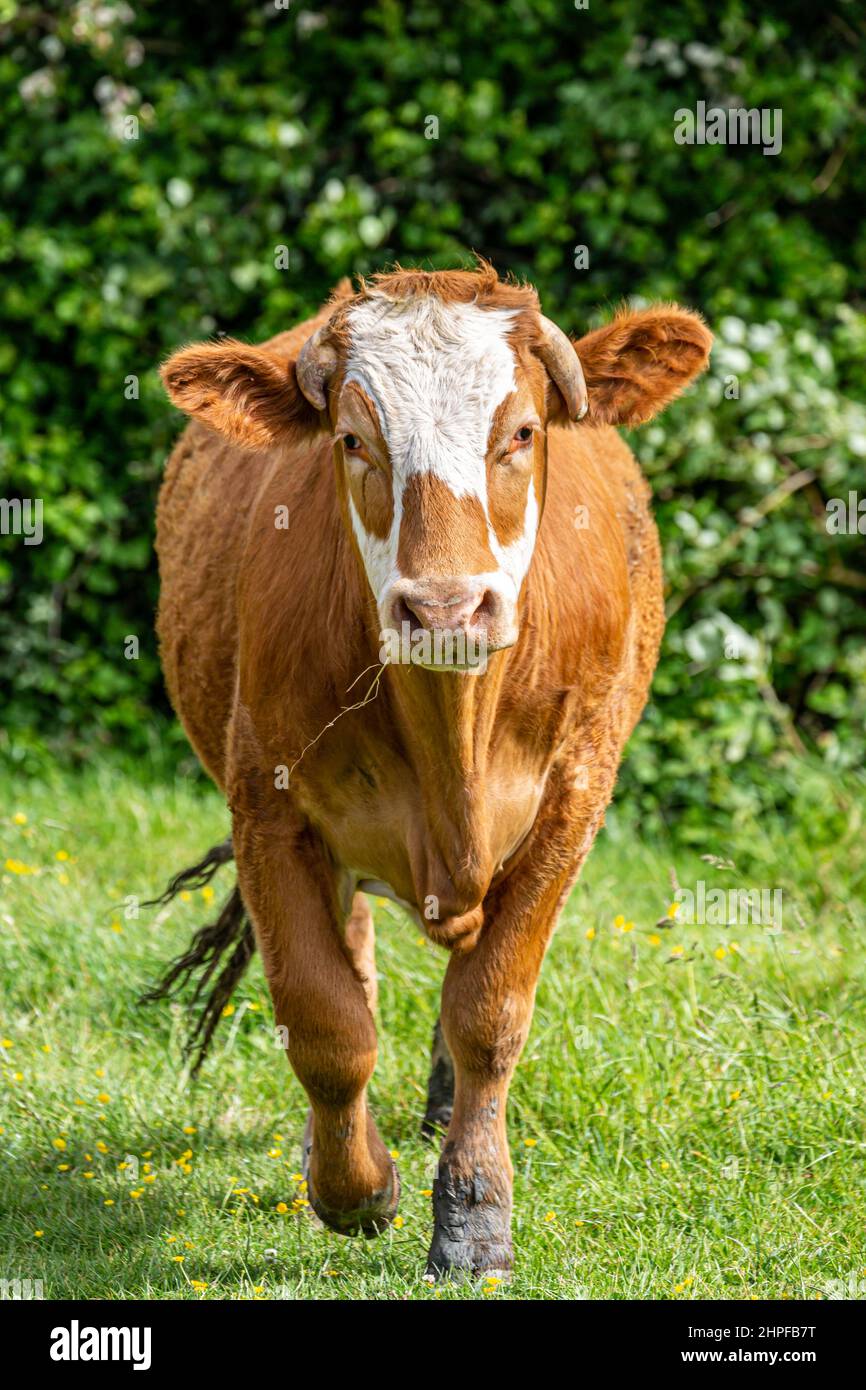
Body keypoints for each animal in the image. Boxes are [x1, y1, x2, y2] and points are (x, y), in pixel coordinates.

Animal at [153, 262, 711, 1278]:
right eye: (353, 439)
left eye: (520, 432)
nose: (446, 605)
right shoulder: (268, 811)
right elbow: (328, 1021)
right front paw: (356, 1187)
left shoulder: (572, 803)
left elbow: (489, 1013)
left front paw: (474, 1217)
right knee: (354, 973)